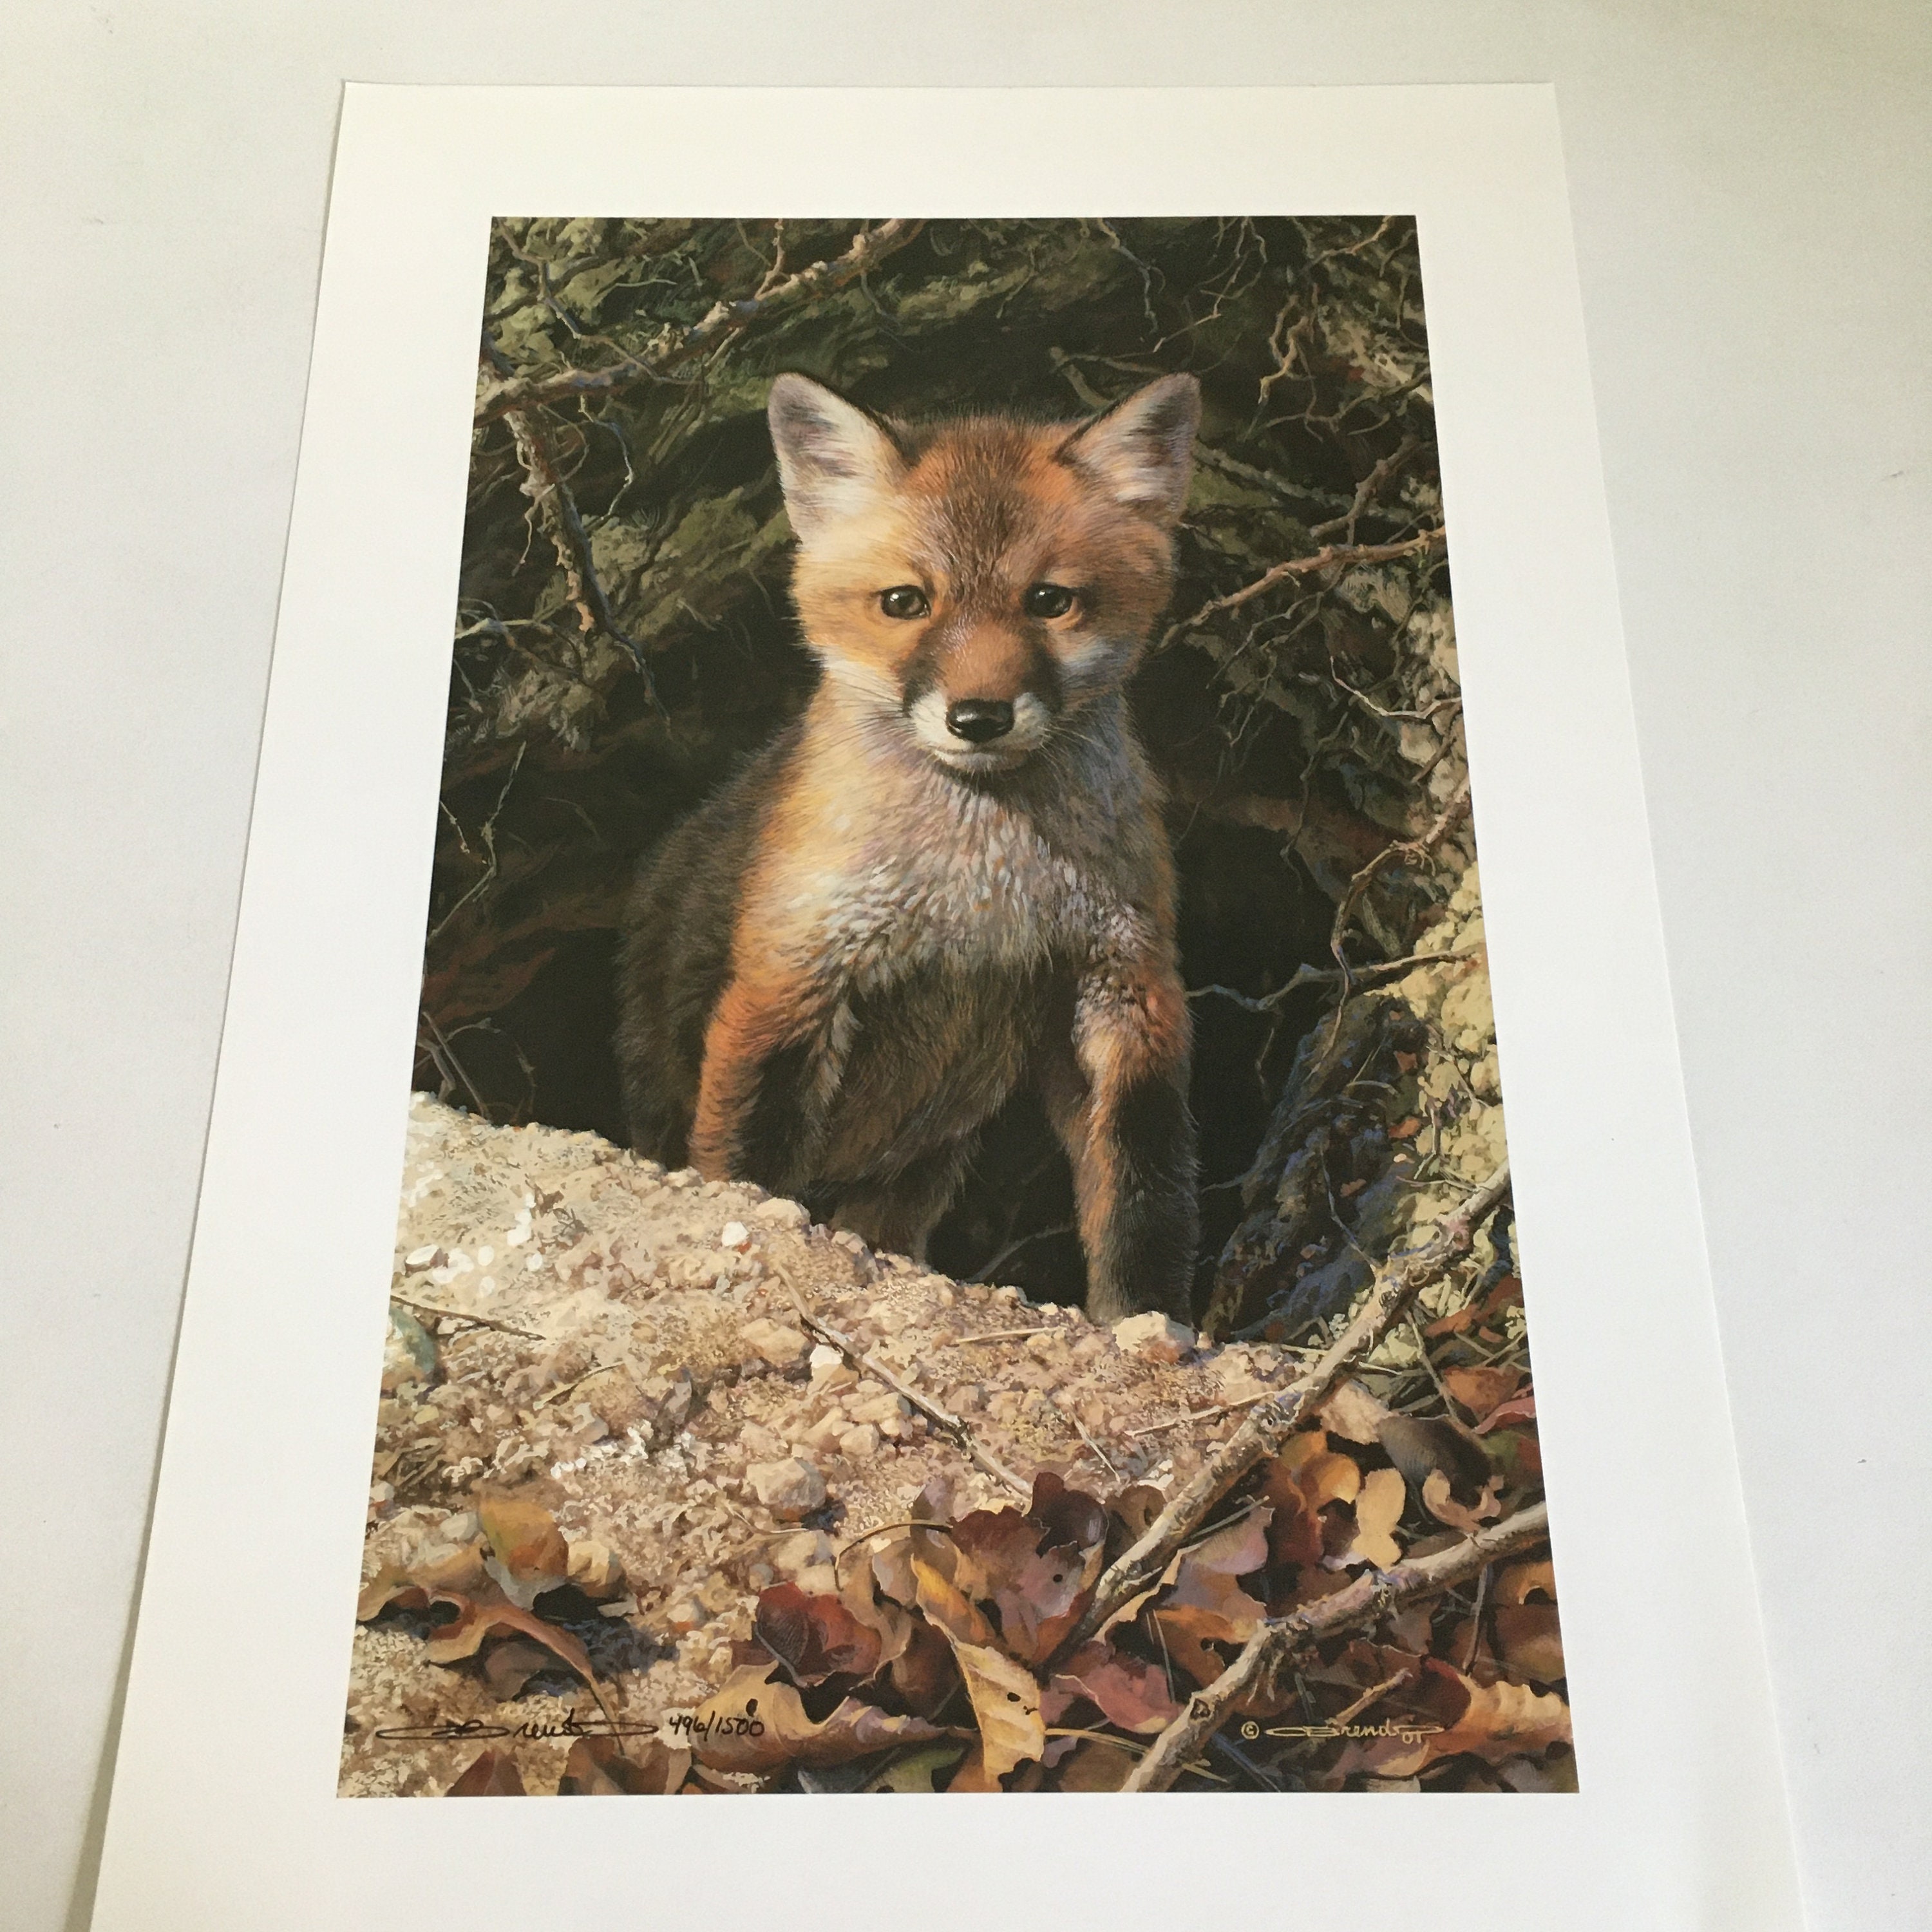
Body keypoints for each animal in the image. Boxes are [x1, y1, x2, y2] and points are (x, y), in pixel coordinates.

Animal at [614, 370, 1201, 1322]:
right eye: (905, 603)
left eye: (1049, 601)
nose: (978, 717)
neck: (984, 896)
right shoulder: (792, 979)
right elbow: (747, 1169)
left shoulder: (1127, 982)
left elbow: (1141, 1200)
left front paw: (1147, 1326)